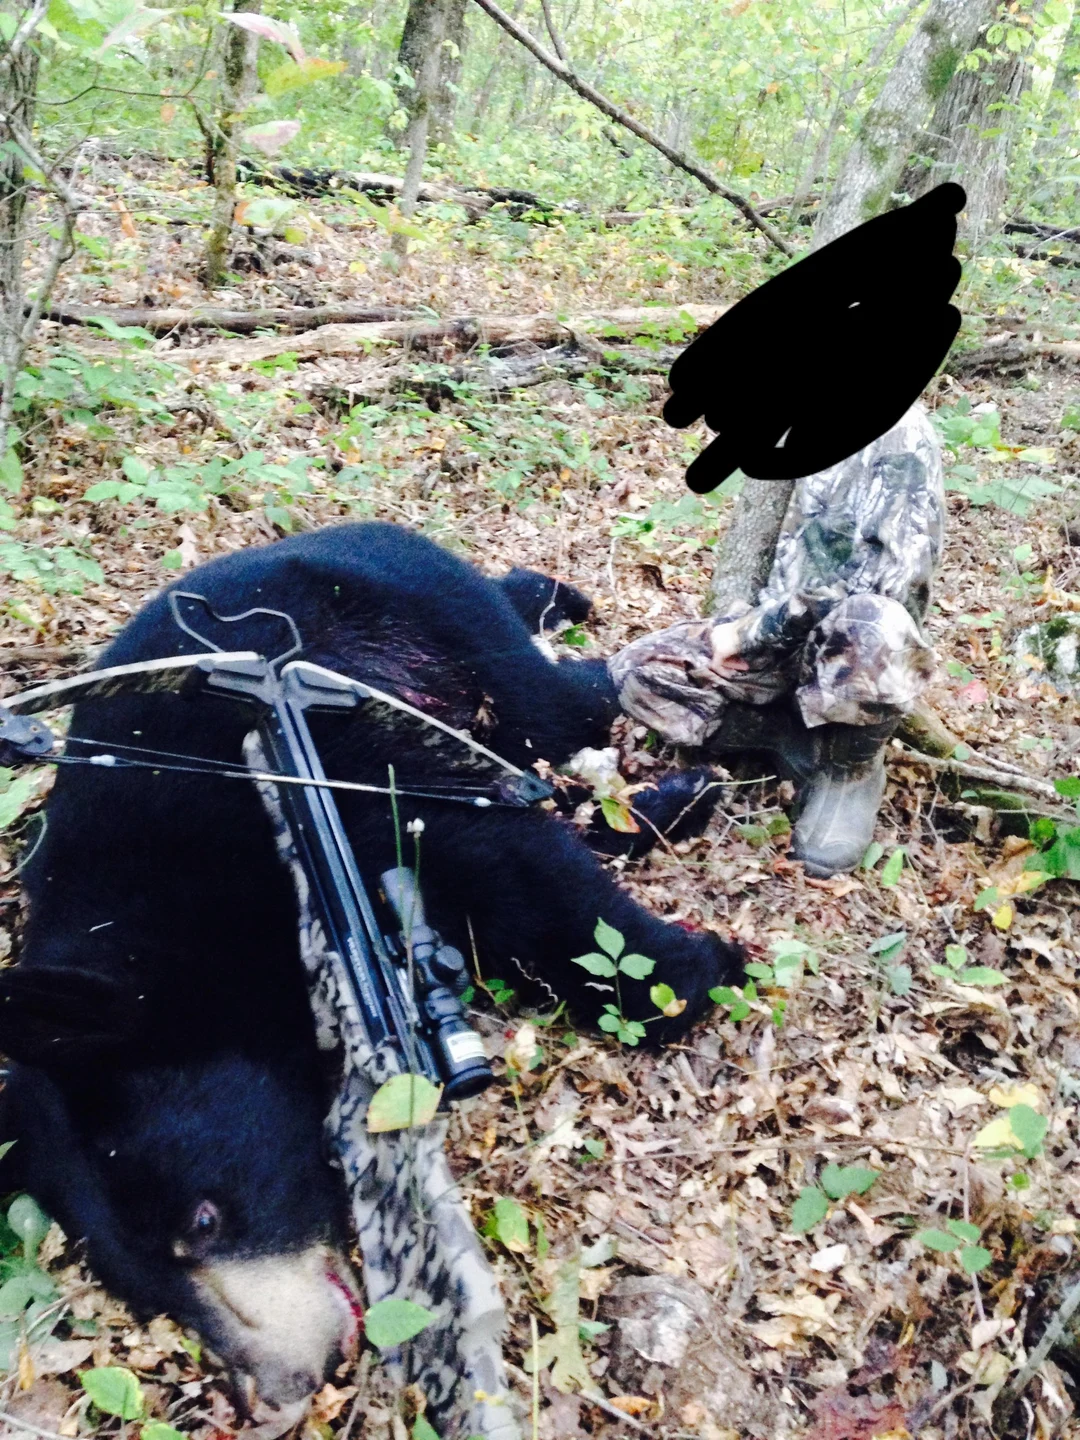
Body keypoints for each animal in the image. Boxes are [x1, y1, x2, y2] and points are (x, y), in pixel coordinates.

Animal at [0, 522, 740, 1418]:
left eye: (204, 1220)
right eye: (142, 1288)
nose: (276, 1395)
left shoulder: (313, 801)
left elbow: (511, 870)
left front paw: (699, 966)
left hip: (441, 627)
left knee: (569, 701)